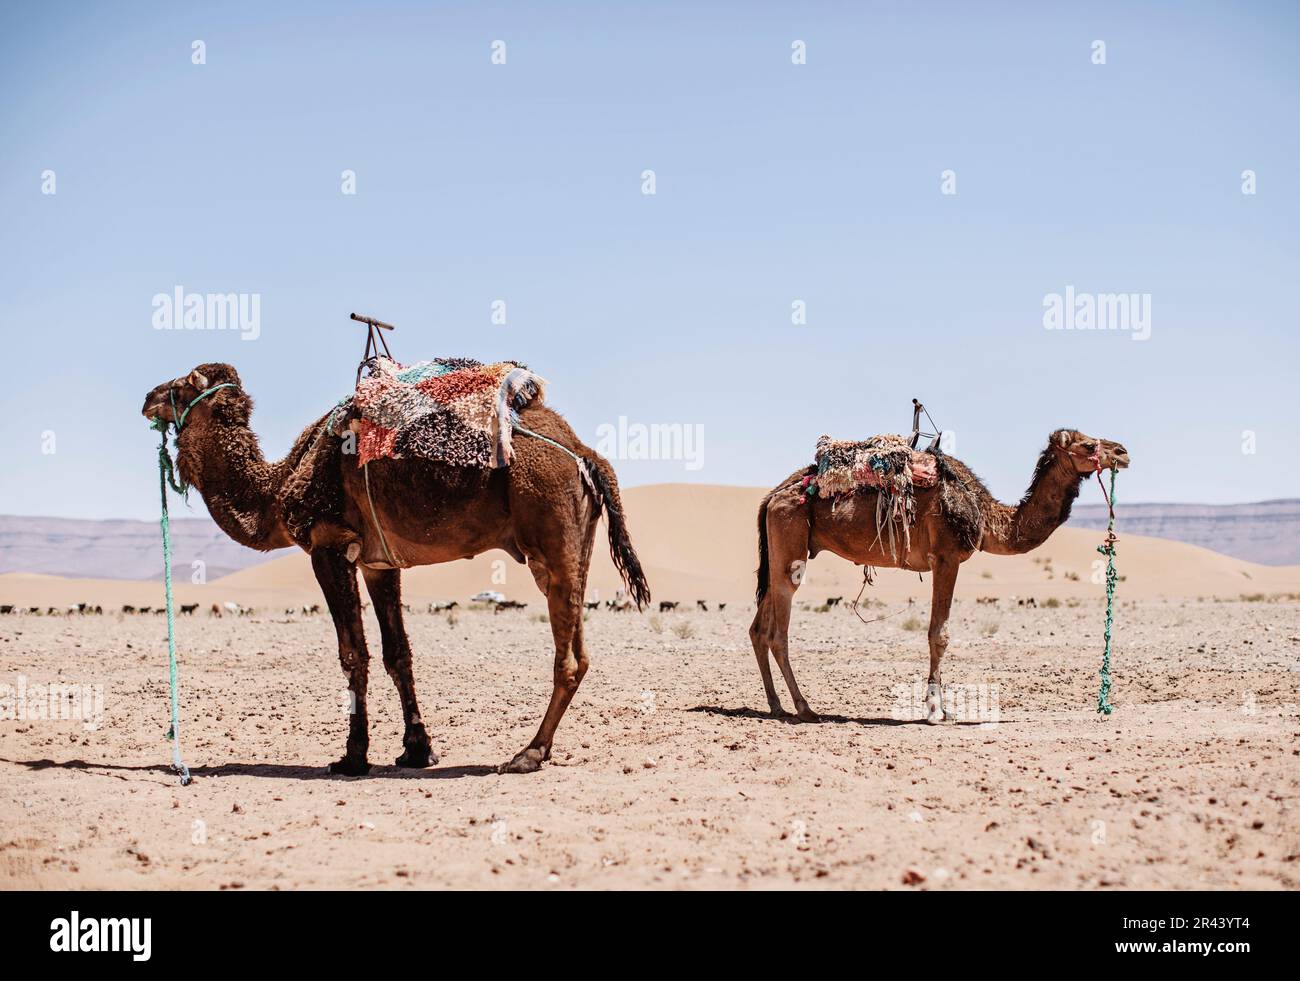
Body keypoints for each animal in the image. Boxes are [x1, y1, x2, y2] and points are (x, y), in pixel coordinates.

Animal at [142, 363, 649, 776]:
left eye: (181, 386)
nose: (148, 396)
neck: (280, 486)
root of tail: (584, 452)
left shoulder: (329, 546)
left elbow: (353, 655)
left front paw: (352, 756)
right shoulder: (378, 563)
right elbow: (397, 653)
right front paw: (417, 749)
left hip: (549, 531)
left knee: (568, 657)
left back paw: (528, 753)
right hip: (578, 543)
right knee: (579, 648)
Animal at [750, 429, 1129, 724]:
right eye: (1088, 446)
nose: (1123, 453)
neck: (986, 515)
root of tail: (772, 496)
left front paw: (940, 708)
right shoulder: (946, 558)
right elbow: (939, 635)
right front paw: (937, 711)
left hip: (778, 552)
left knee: (758, 628)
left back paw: (776, 705)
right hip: (791, 543)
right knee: (778, 633)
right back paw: (804, 708)